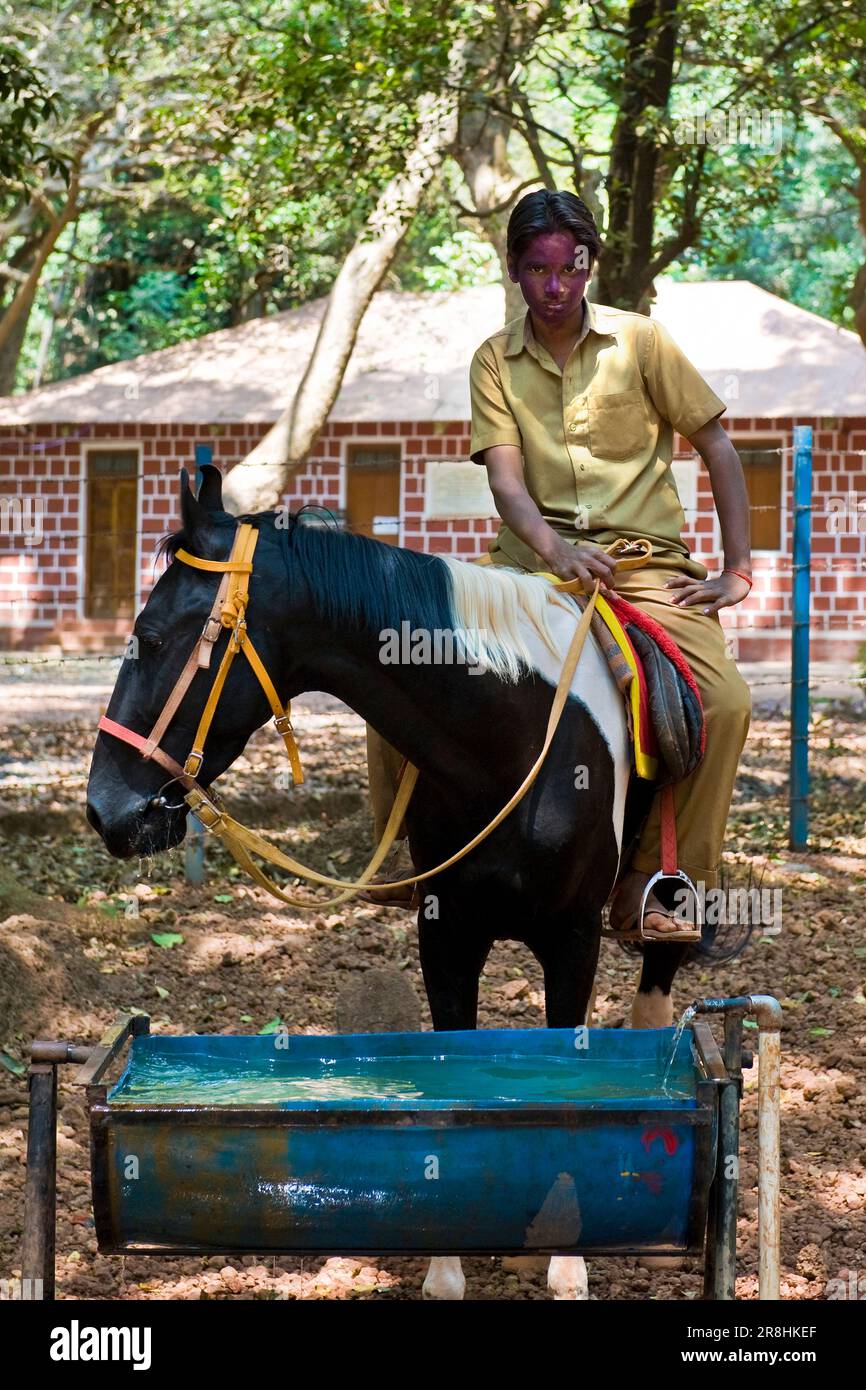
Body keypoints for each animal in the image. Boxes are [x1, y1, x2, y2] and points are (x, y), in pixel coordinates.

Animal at [86, 465, 700, 1301]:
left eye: (150, 639)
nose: (104, 809)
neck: (511, 742)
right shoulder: (444, 934)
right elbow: (452, 1083)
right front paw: (450, 1262)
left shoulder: (573, 940)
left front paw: (569, 1261)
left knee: (659, 970)